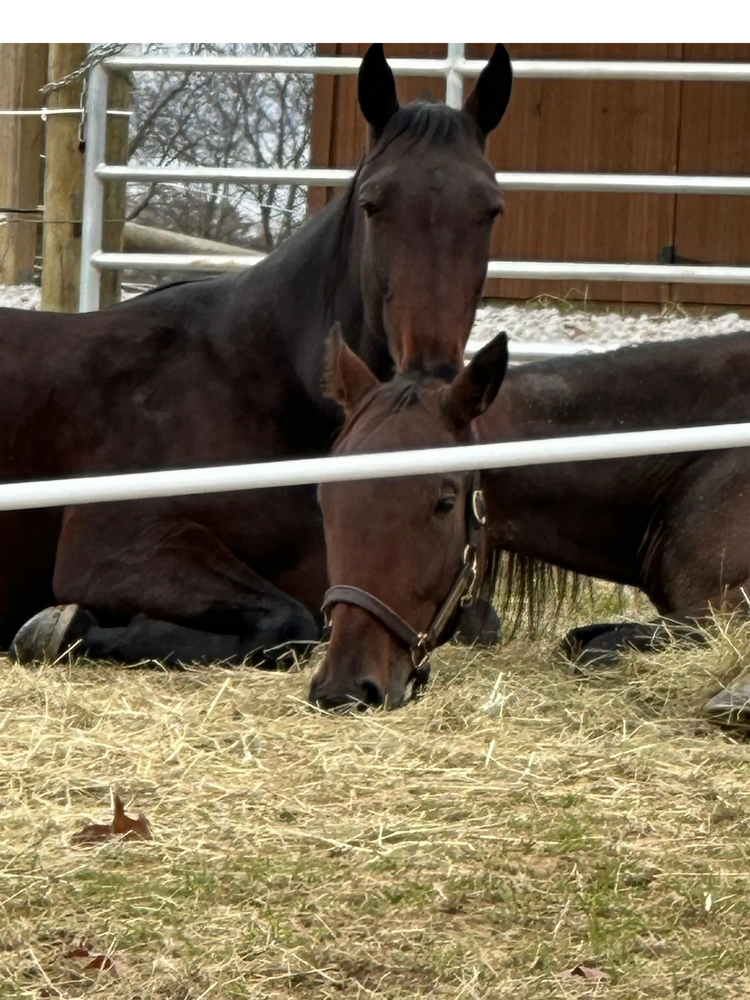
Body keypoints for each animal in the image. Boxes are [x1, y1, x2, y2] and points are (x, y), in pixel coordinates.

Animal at [5, 40, 514, 668]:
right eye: (373, 205)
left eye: (491, 208)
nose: (432, 372)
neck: (257, 383)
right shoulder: (114, 547)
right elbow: (288, 621)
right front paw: (63, 626)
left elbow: (477, 622)